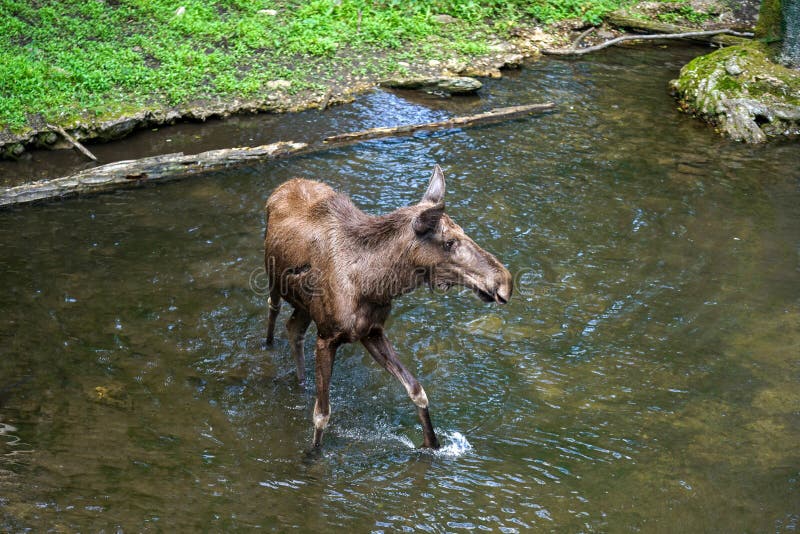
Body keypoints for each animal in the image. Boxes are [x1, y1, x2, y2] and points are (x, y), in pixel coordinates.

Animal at [264, 164, 512, 449]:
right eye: (448, 242)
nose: (505, 281)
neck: (374, 285)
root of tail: (285, 185)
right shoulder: (327, 337)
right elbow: (322, 415)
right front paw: (312, 454)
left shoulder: (372, 331)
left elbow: (416, 390)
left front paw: (432, 444)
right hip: (273, 283)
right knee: (273, 311)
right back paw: (268, 348)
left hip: (305, 307)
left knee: (293, 328)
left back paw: (302, 382)